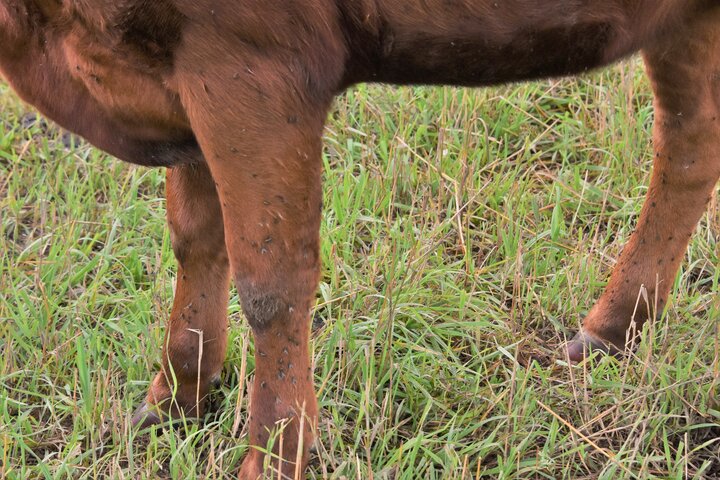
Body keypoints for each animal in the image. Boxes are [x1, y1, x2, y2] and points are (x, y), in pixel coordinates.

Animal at [1, 1, 718, 478]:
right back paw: (613, 328)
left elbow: (269, 283)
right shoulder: (180, 82)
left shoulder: (252, 65)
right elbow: (195, 238)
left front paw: (274, 455)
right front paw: (176, 399)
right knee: (690, 142)